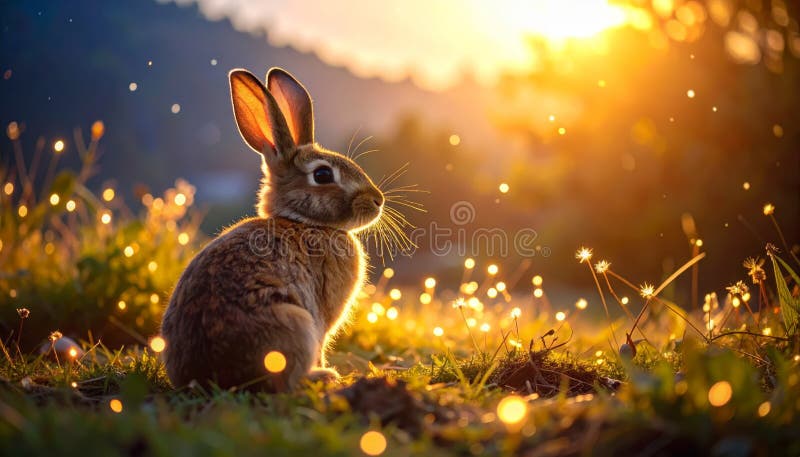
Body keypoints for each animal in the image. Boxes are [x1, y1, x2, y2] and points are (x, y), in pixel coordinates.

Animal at [160, 67, 384, 392]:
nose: (378, 200)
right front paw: (327, 371)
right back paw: (320, 376)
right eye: (322, 175)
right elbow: (322, 343)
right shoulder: (322, 315)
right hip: (296, 322)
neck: (304, 221)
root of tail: (210, 376)